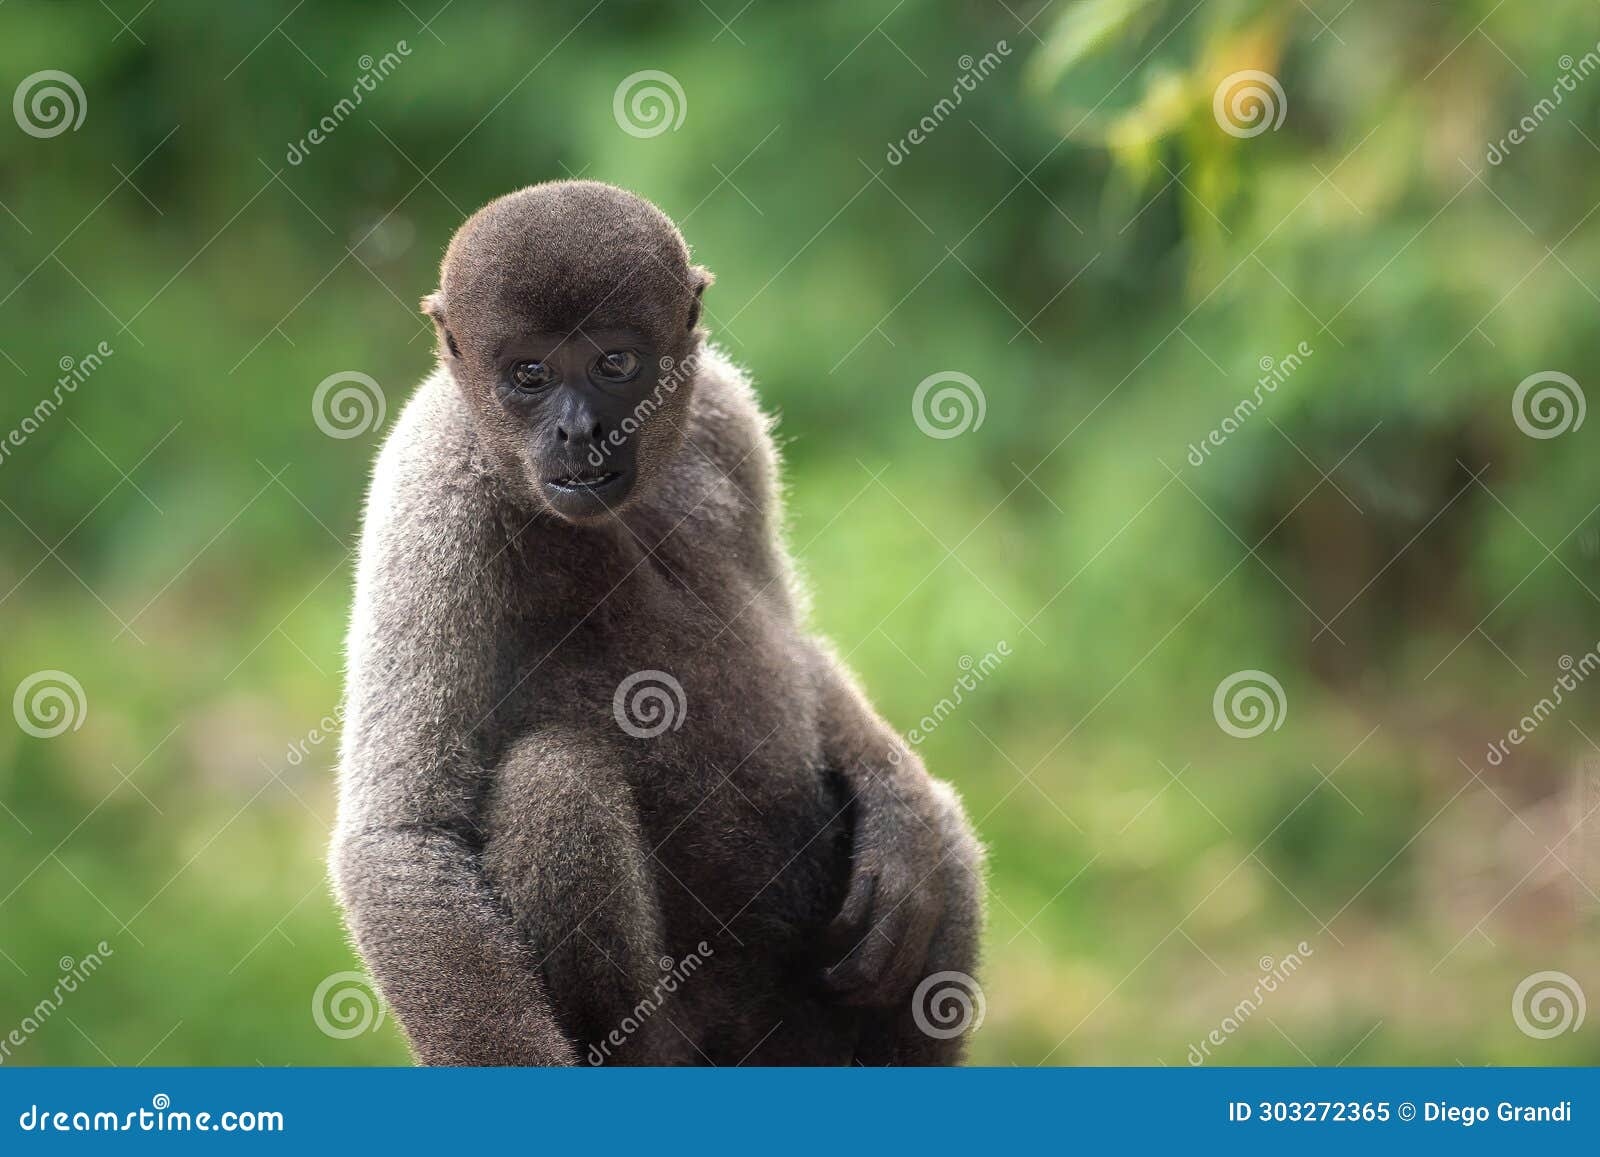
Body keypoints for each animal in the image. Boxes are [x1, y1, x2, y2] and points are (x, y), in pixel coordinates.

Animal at [330, 180, 985, 1065]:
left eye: (615, 363)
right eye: (529, 374)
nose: (578, 428)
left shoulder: (727, 413)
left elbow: (792, 637)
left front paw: (895, 799)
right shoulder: (432, 483)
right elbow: (401, 836)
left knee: (946, 838)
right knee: (556, 778)